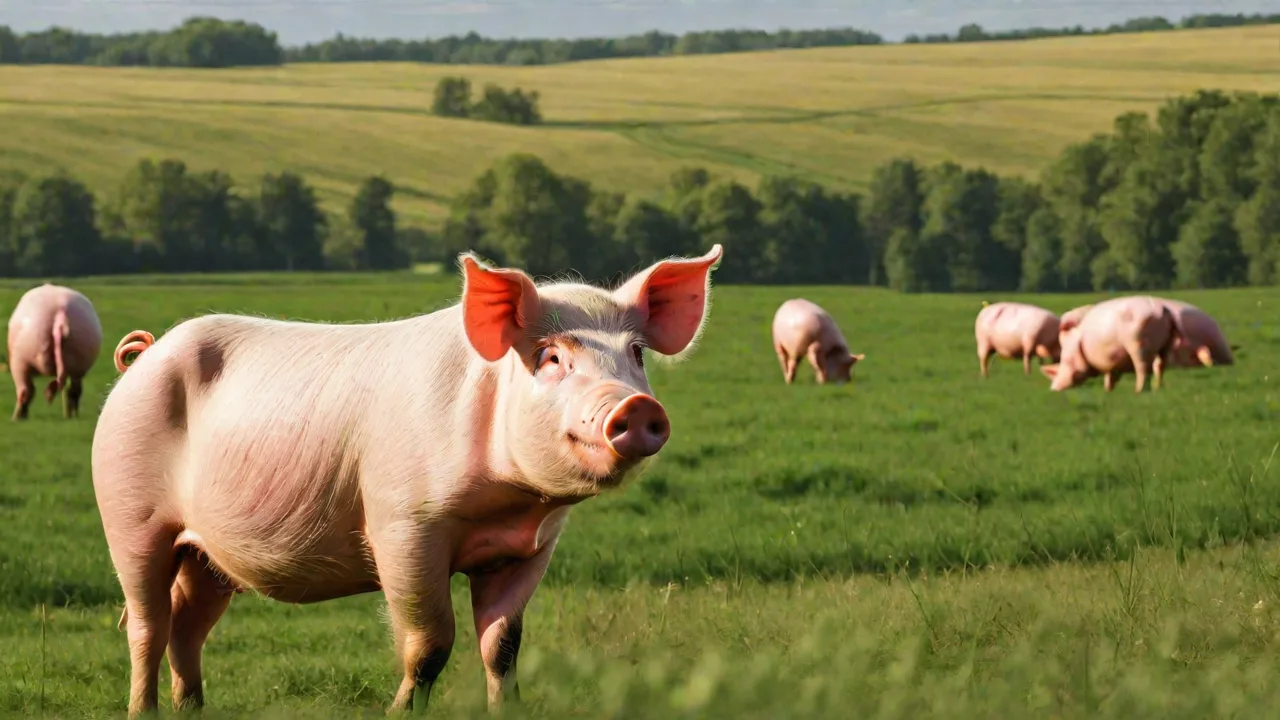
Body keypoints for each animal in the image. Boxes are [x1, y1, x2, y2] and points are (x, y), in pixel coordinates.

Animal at [7, 283, 103, 420]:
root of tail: (60, 314)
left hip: (20, 360)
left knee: (25, 390)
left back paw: (16, 419)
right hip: (79, 361)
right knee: (73, 390)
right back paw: (71, 416)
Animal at [91, 245, 724, 717]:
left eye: (636, 353)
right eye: (550, 357)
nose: (637, 405)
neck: (507, 503)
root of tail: (147, 354)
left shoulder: (531, 548)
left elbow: (504, 644)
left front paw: (510, 708)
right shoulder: (401, 526)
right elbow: (430, 644)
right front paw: (397, 712)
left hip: (208, 555)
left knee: (187, 625)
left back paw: (193, 709)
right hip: (129, 512)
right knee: (146, 623)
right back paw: (143, 711)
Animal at [1040, 295, 1180, 394]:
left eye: (1056, 372)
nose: (1052, 390)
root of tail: (1160, 310)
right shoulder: (1111, 361)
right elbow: (1110, 376)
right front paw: (1107, 391)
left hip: (1137, 343)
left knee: (1142, 368)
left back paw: (1138, 392)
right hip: (1166, 343)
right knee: (1160, 365)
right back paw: (1157, 389)